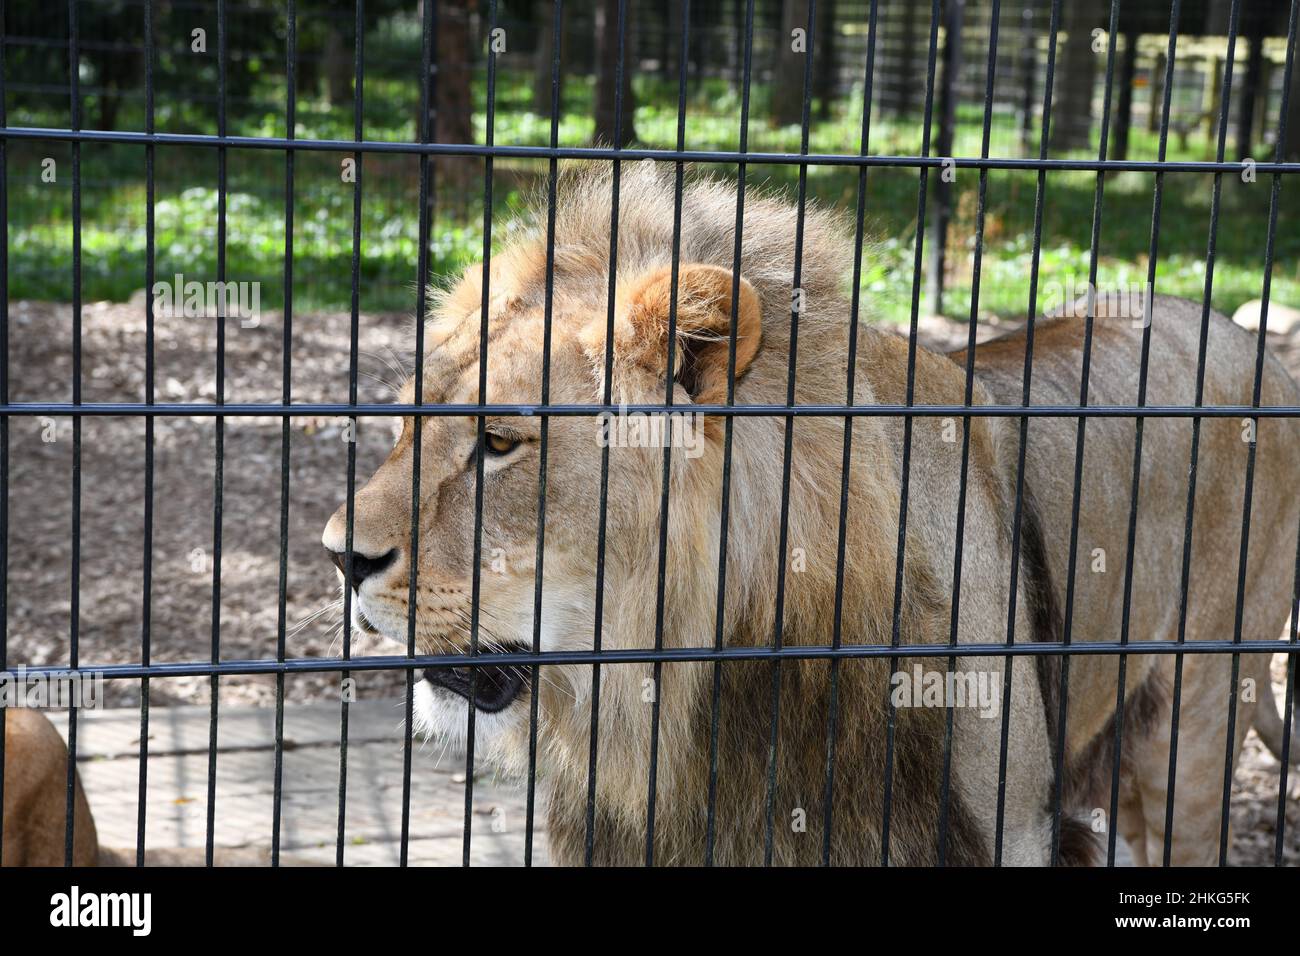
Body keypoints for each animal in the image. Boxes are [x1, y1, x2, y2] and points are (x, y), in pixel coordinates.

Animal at [322, 163, 1299, 865]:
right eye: (407, 424)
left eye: (499, 442)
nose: (341, 559)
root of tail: (1247, 337)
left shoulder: (1007, 829)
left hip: (1194, 727)